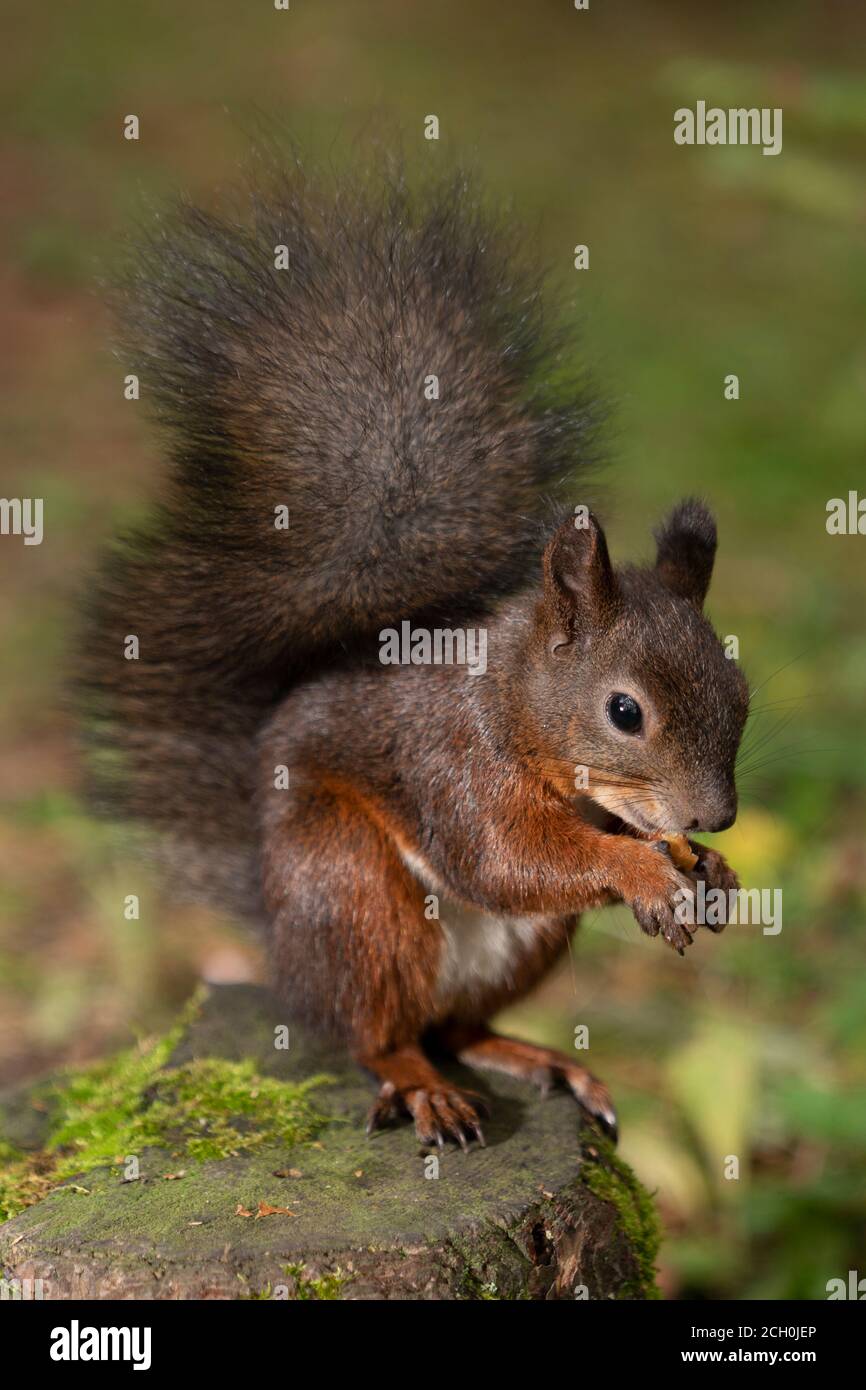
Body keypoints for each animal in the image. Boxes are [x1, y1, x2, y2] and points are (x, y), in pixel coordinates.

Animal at [76, 160, 749, 1148]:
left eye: (741, 692)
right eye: (625, 711)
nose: (716, 818)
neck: (512, 701)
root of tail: (278, 936)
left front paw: (702, 867)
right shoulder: (451, 766)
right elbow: (509, 859)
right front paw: (643, 870)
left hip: (521, 947)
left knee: (459, 1025)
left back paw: (541, 1060)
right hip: (351, 889)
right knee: (380, 1033)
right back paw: (424, 1085)